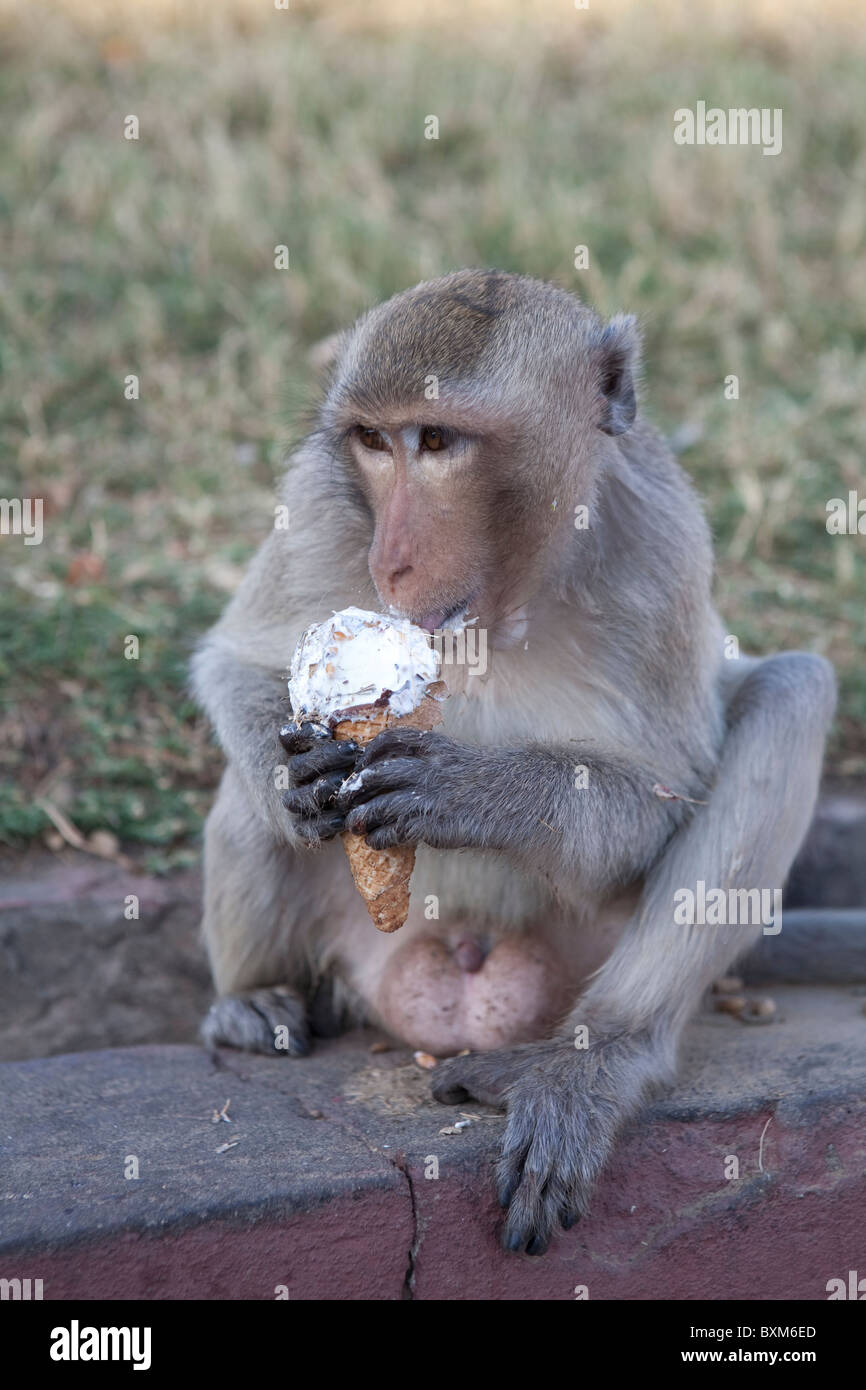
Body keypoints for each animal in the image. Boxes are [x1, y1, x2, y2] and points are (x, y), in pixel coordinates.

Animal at [191, 269, 836, 1255]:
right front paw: (293, 775)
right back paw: (255, 997)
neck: (500, 598)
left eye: (437, 441)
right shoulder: (317, 502)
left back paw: (595, 1059)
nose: (390, 559)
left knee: (792, 696)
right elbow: (233, 661)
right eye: (373, 440)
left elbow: (662, 796)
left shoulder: (662, 541)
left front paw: (475, 793)